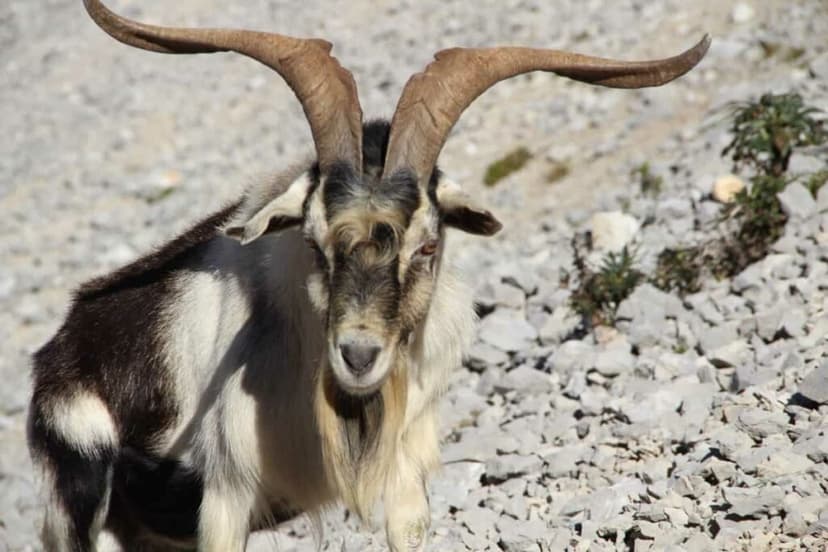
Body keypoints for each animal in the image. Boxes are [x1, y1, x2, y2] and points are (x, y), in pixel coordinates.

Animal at [28, 1, 710, 550]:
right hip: (81, 501)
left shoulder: (406, 470)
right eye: (314, 241)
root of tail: (58, 351)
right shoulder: (225, 492)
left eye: (428, 245)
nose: (358, 356)